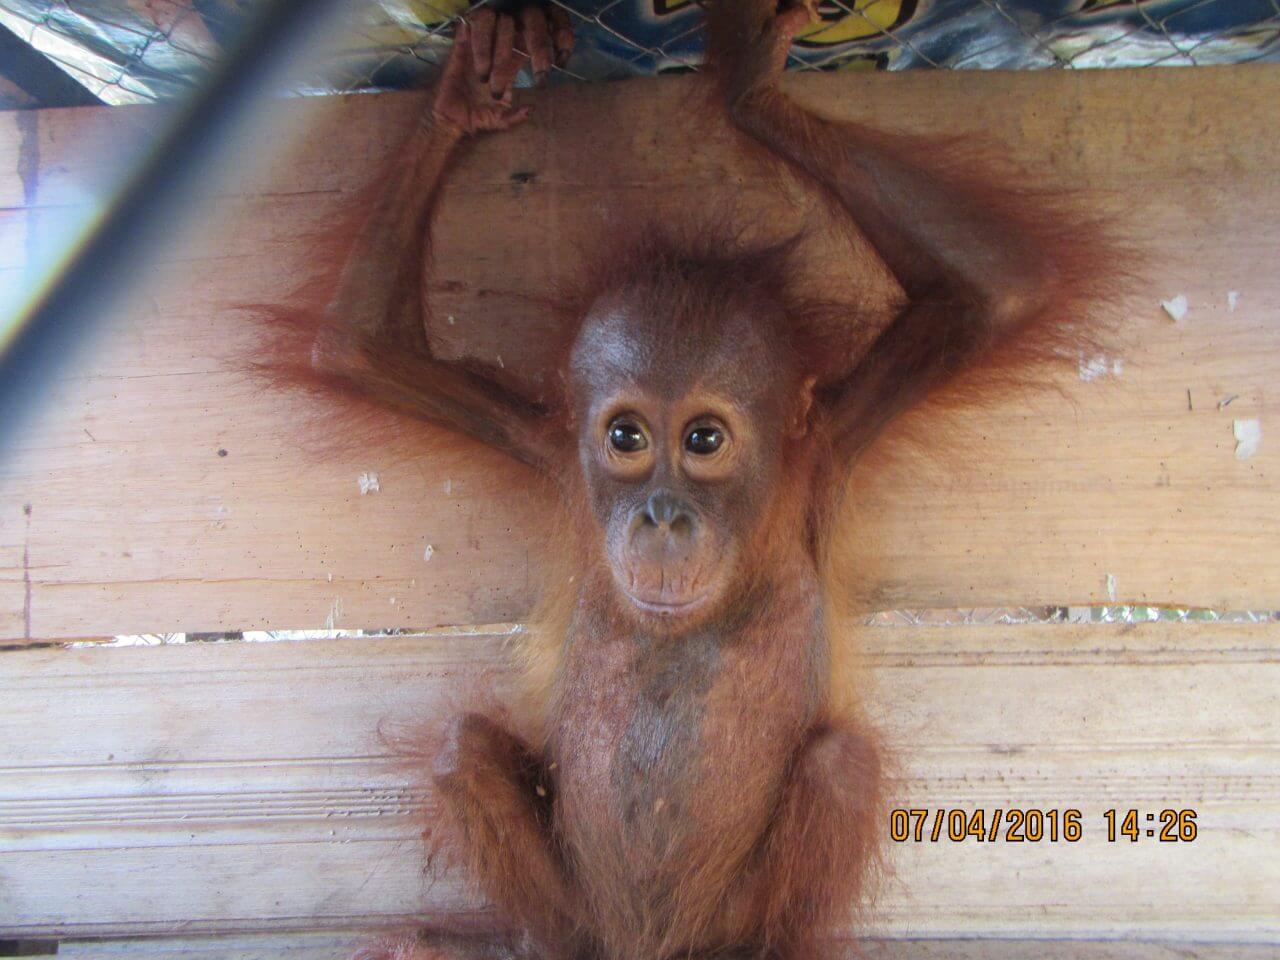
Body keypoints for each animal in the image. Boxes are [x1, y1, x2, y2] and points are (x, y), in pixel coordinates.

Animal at [263, 2, 1125, 958]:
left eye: (704, 439)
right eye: (627, 437)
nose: (662, 515)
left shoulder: (828, 441)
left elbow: (1001, 293)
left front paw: (750, 84)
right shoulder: (545, 445)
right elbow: (357, 348)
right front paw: (467, 88)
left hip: (728, 921)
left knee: (840, 765)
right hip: (581, 914)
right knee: (461, 752)